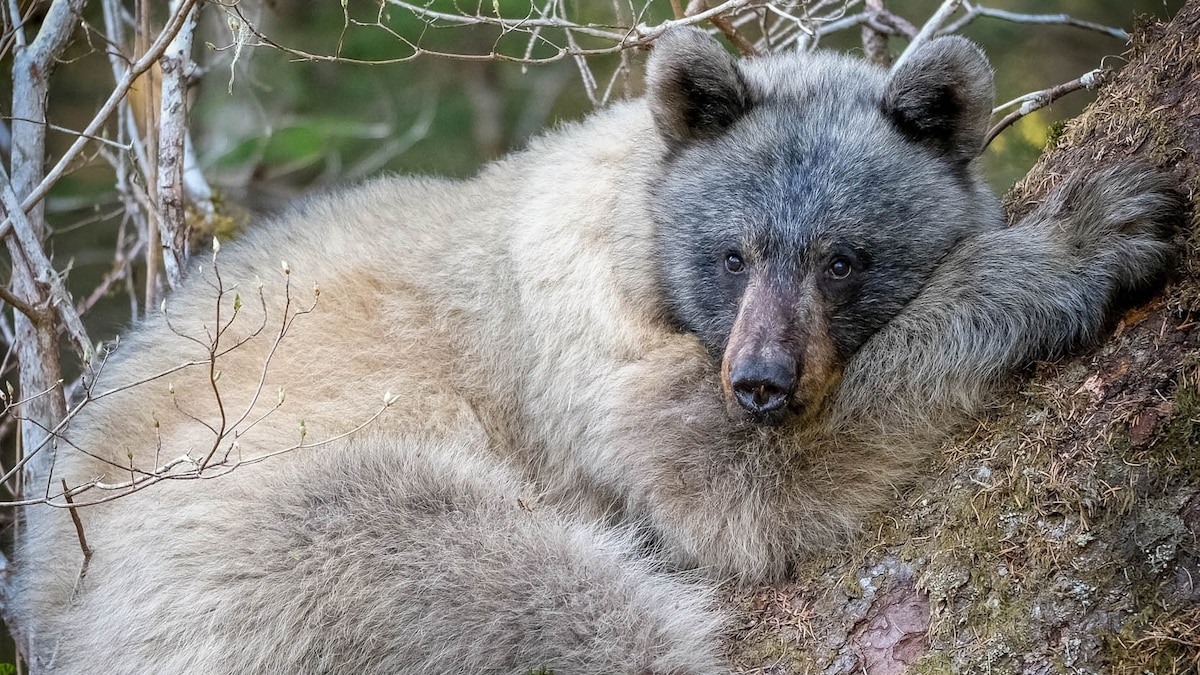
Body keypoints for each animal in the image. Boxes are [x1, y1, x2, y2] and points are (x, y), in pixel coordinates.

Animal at [8, 27, 1180, 673]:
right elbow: (743, 491)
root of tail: (51, 607)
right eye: (732, 250)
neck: (636, 234)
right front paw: (1088, 235)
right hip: (242, 544)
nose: (763, 383)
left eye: (844, 256)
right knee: (504, 580)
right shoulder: (585, 348)